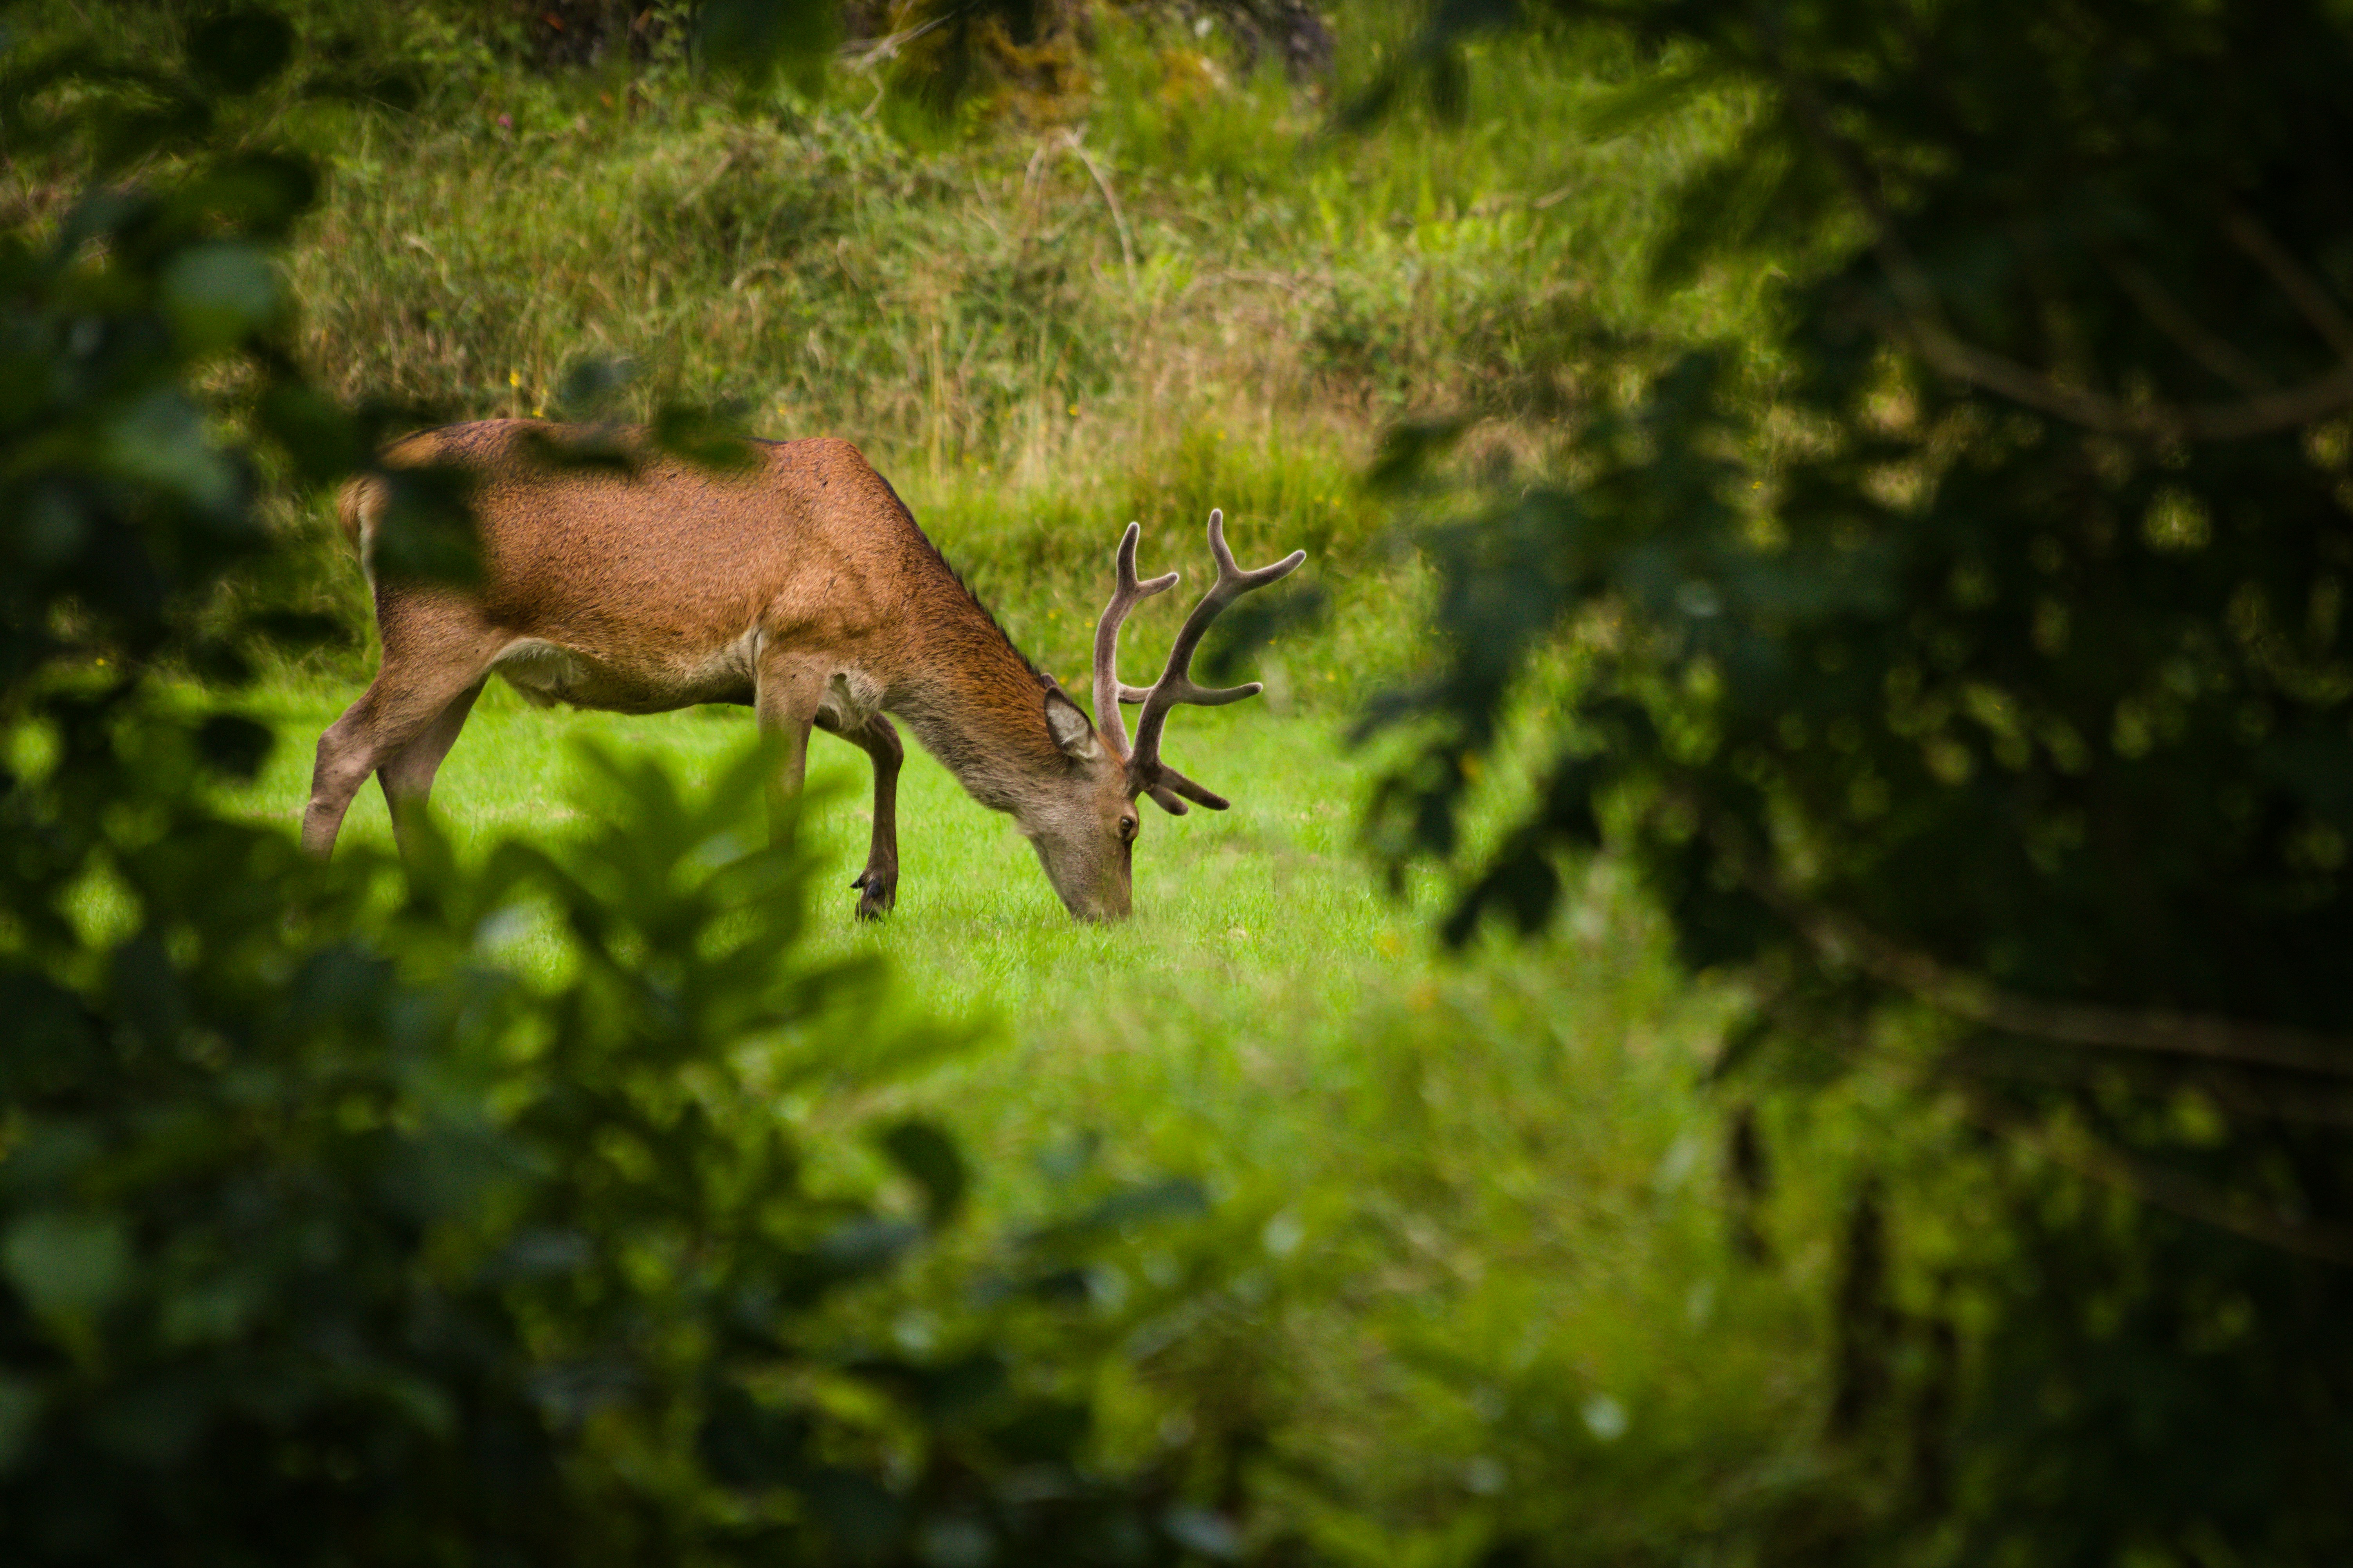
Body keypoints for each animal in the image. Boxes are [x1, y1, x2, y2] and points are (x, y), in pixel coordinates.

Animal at [302, 419, 1306, 922]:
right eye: (1129, 825)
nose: (1116, 921)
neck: (890, 608)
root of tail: (358, 490)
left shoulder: (833, 676)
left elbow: (892, 749)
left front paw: (877, 891)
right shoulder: (789, 648)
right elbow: (785, 792)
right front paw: (784, 910)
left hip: (465, 656)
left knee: (408, 768)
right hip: (436, 630)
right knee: (342, 747)